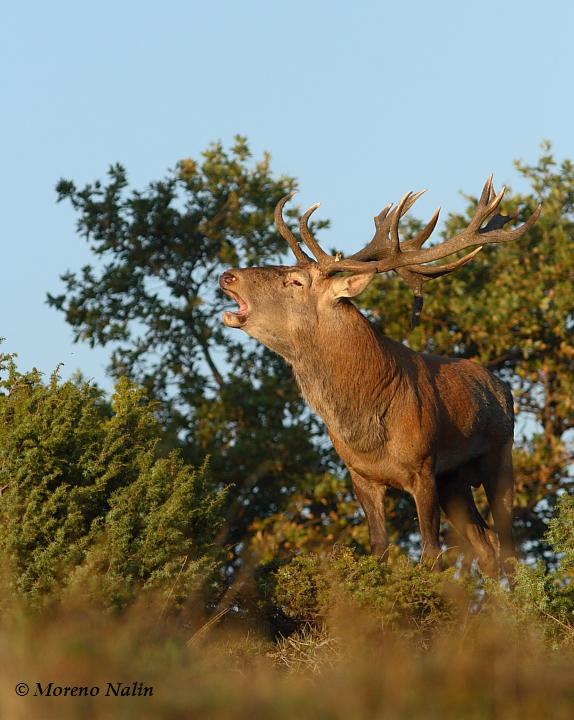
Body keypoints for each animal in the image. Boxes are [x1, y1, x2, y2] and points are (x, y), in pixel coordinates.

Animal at [219, 177, 541, 577]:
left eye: (295, 281)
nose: (228, 275)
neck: (366, 427)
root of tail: (502, 388)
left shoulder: (423, 467)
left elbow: (431, 553)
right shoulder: (361, 475)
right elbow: (379, 550)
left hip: (499, 455)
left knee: (508, 544)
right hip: (453, 481)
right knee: (486, 541)